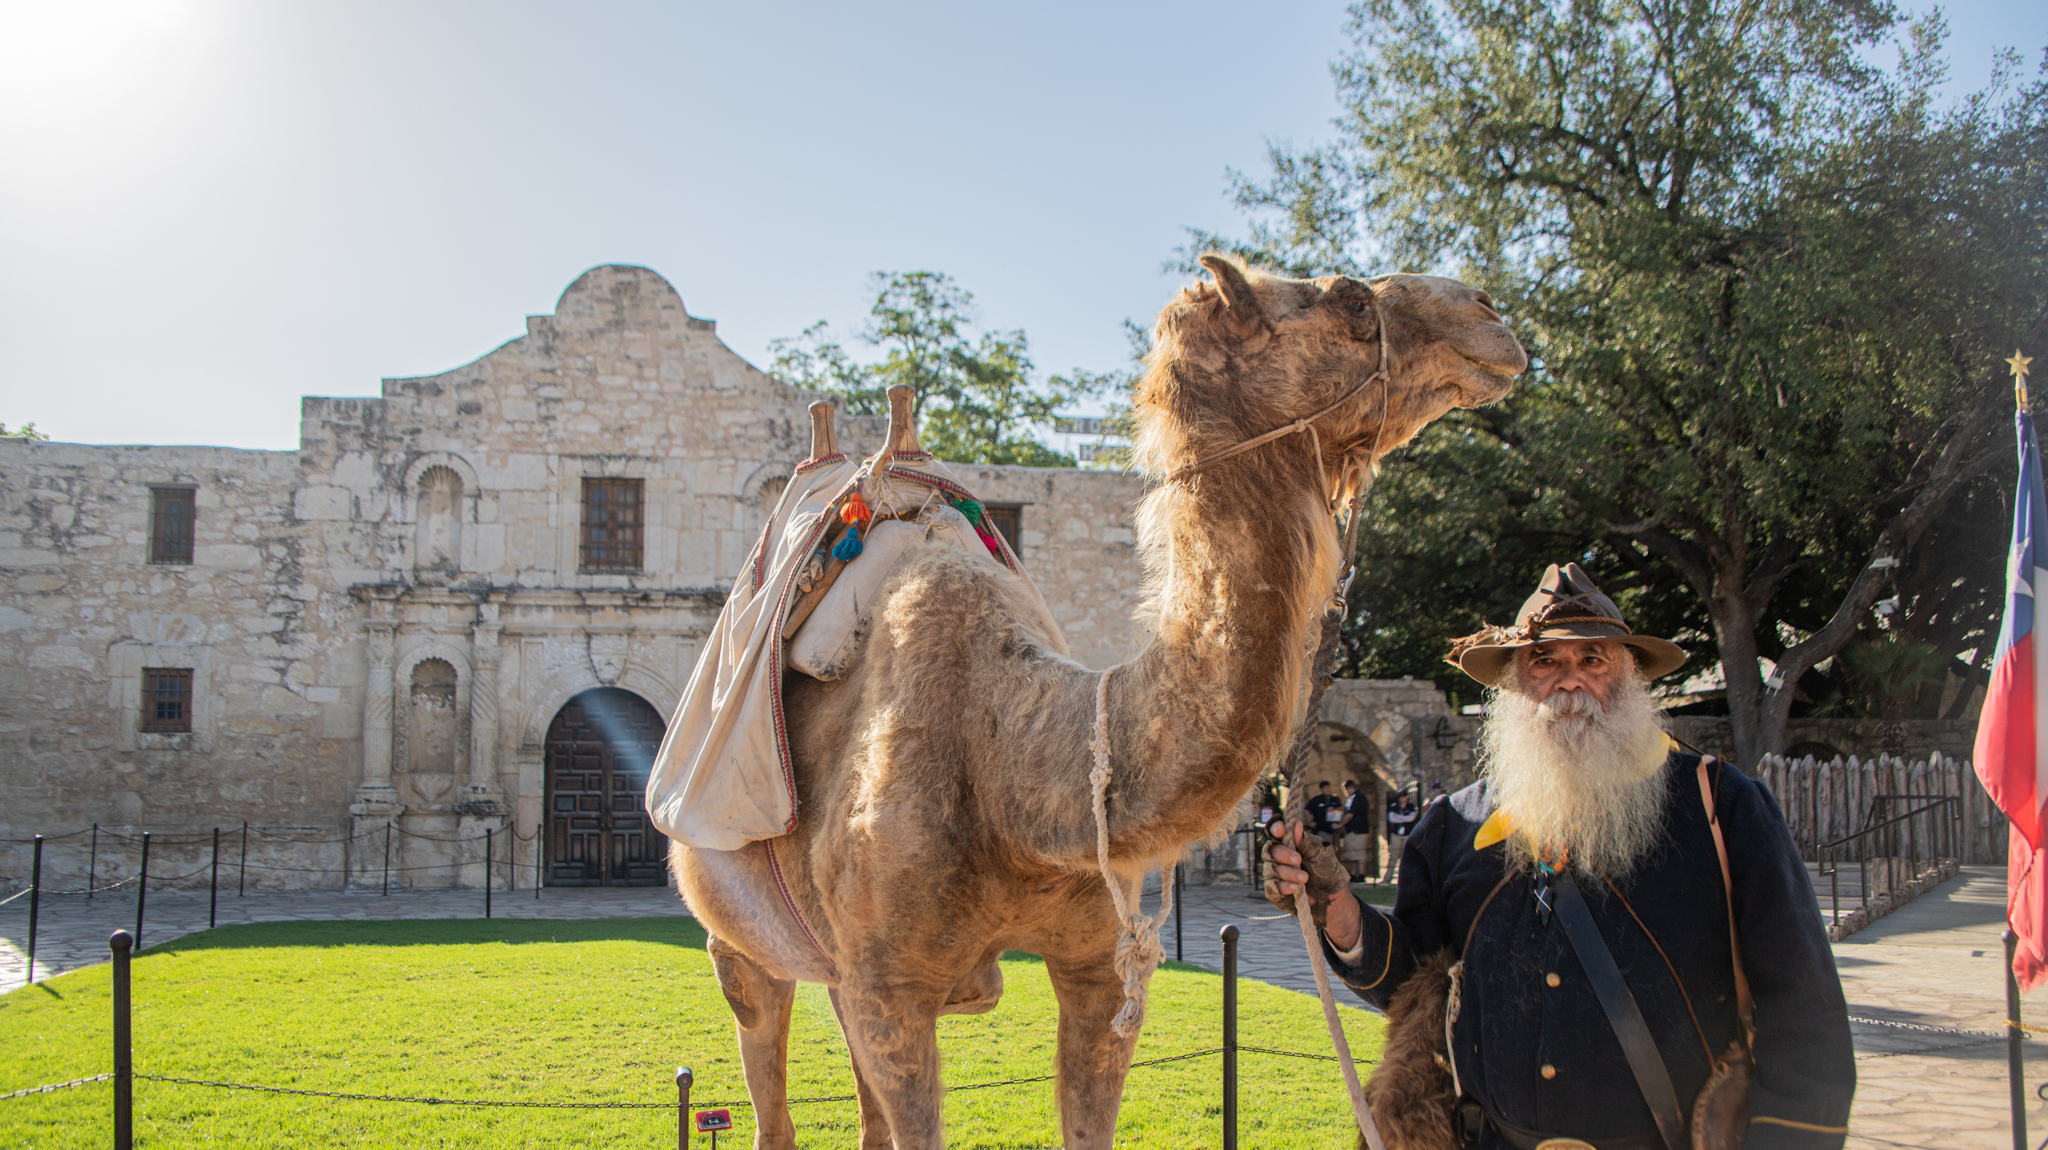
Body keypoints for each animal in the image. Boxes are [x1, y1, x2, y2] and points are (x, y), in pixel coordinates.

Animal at [672, 255, 1527, 1150]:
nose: (1488, 312)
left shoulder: (1096, 969)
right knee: (763, 1051)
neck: (1017, 774)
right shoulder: (894, 991)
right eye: (1351, 300)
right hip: (735, 932)